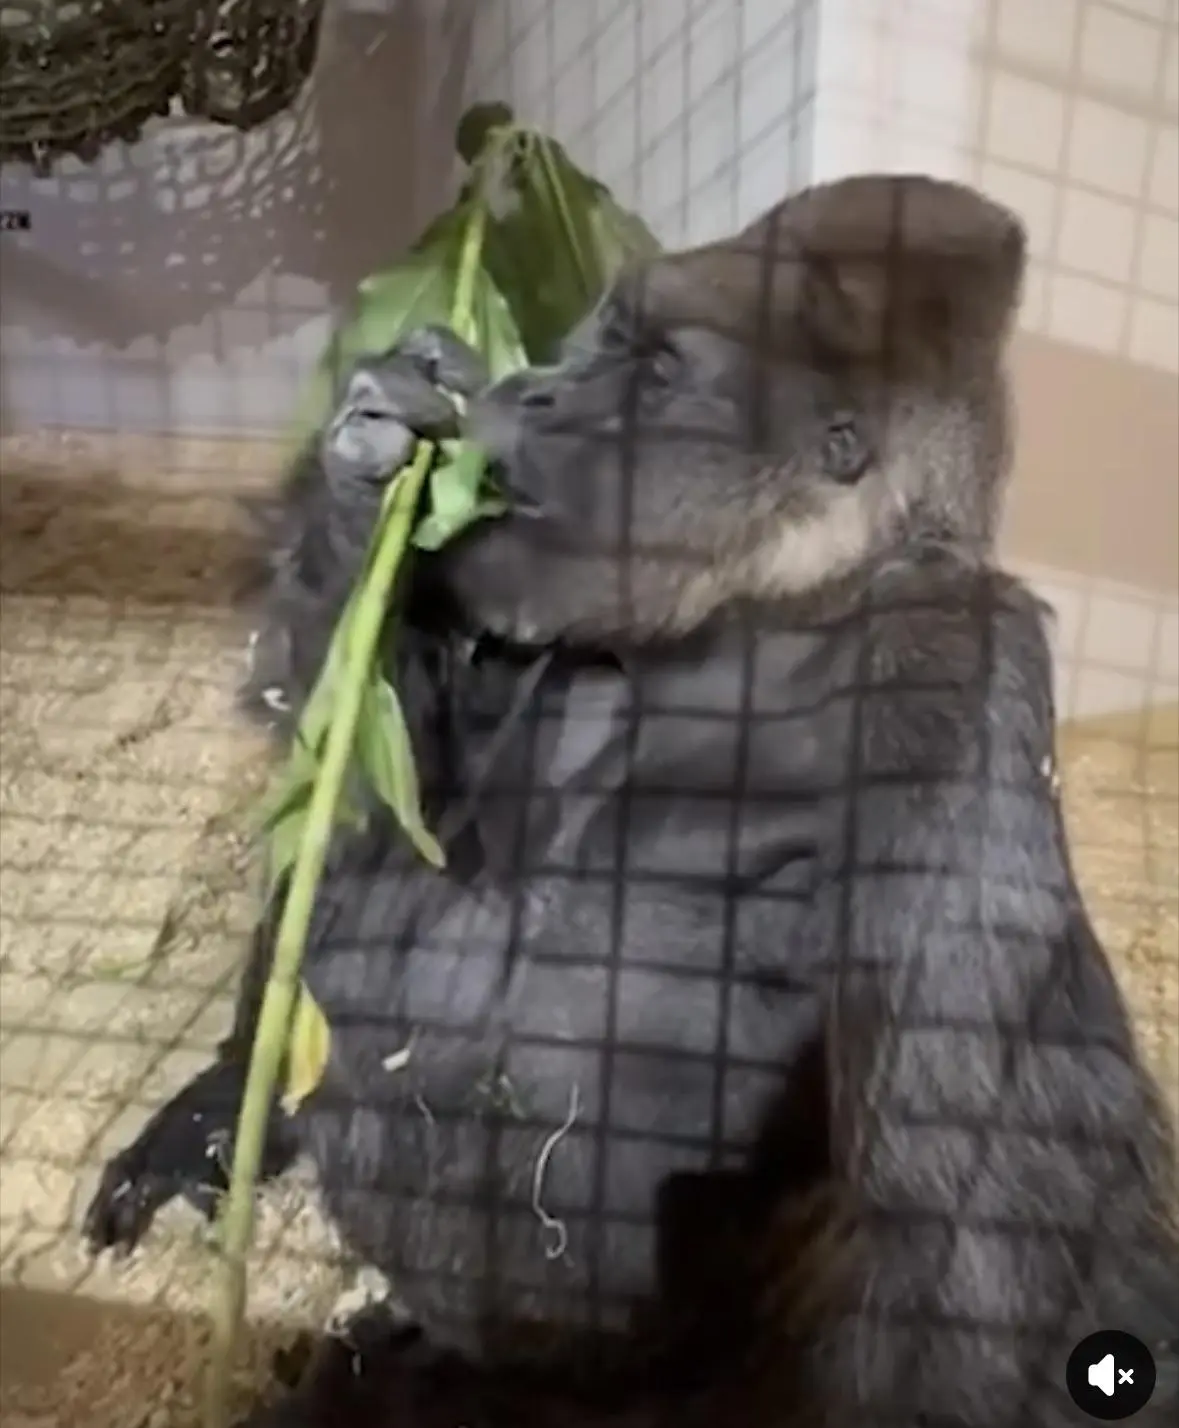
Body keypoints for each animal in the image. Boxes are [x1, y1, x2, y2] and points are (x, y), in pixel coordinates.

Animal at [86, 173, 1179, 1427]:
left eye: (654, 372)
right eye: (593, 342)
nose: (535, 390)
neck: (760, 604)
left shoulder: (957, 671)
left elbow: (991, 1246)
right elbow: (371, 784)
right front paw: (371, 470)